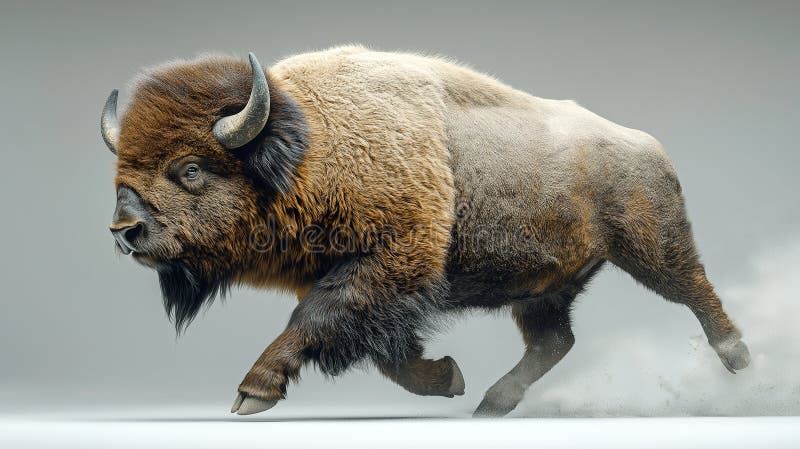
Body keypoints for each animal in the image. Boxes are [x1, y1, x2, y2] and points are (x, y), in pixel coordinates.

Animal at [101, 46, 750, 416]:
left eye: (190, 168)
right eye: (122, 170)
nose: (124, 229)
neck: (310, 147)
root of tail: (649, 146)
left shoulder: (390, 264)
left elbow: (313, 321)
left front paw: (252, 393)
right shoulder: (372, 287)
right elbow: (380, 349)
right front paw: (448, 378)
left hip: (650, 248)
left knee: (694, 289)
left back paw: (738, 358)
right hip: (544, 287)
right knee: (554, 340)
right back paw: (490, 404)